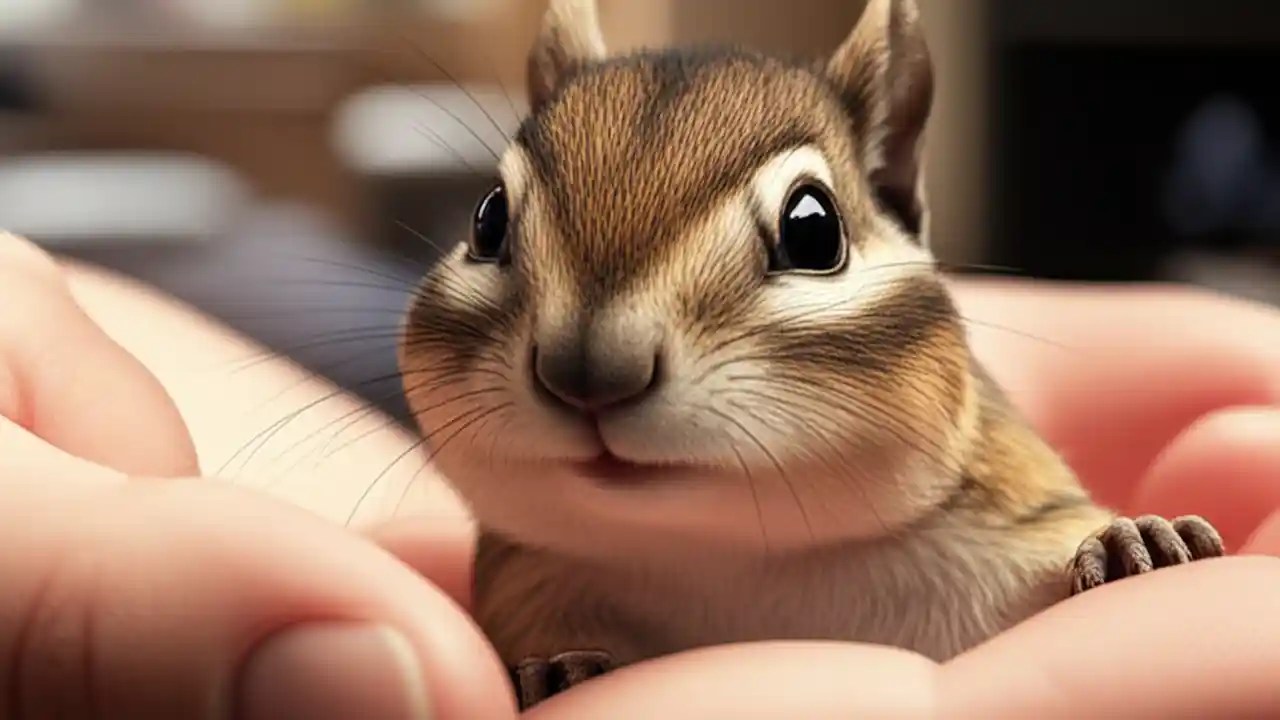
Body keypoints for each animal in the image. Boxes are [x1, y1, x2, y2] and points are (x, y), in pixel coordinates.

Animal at [397, 0, 1225, 709]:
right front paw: (551, 667)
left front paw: (1132, 539)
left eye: (814, 230)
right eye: (487, 219)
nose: (588, 373)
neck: (739, 556)